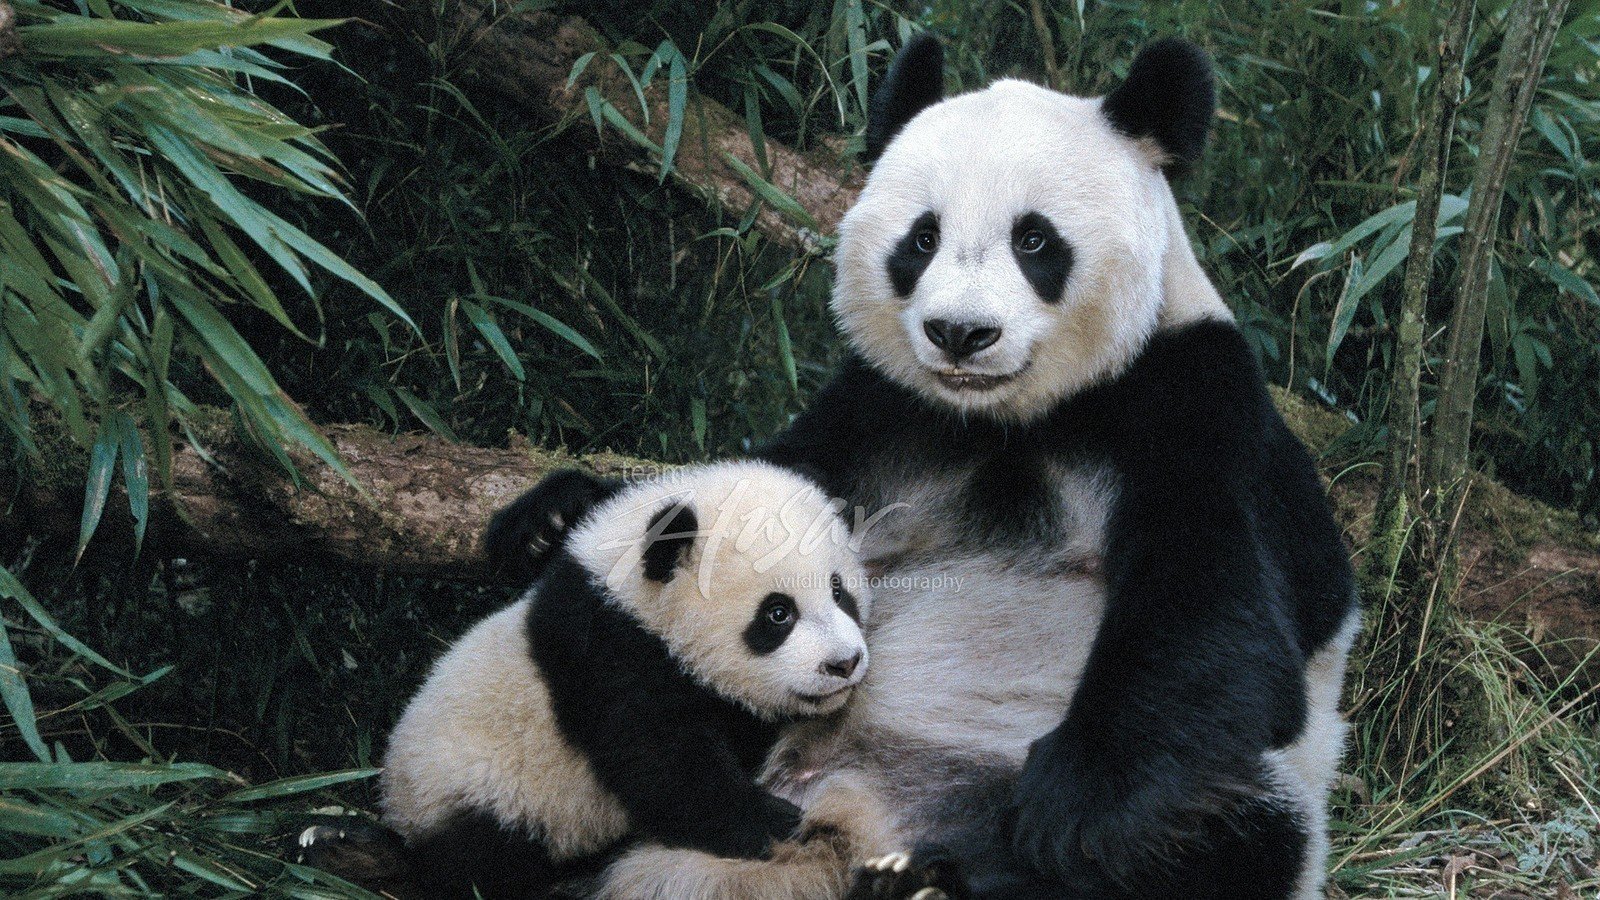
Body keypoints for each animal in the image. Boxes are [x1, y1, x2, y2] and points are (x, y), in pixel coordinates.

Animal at [314, 461, 891, 899]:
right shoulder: (610, 653)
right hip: (481, 789)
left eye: (839, 591)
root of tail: (402, 814)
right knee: (482, 862)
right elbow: (660, 759)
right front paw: (772, 820)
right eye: (777, 614)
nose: (844, 663)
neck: (623, 585)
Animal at [590, 35, 1359, 900]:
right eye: (921, 238)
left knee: (1229, 829)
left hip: (1229, 787)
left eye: (1035, 240)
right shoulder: (879, 410)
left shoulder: (1196, 399)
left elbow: (1219, 617)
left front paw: (1067, 809)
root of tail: (851, 825)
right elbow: (756, 494)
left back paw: (942, 876)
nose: (960, 332)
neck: (1007, 417)